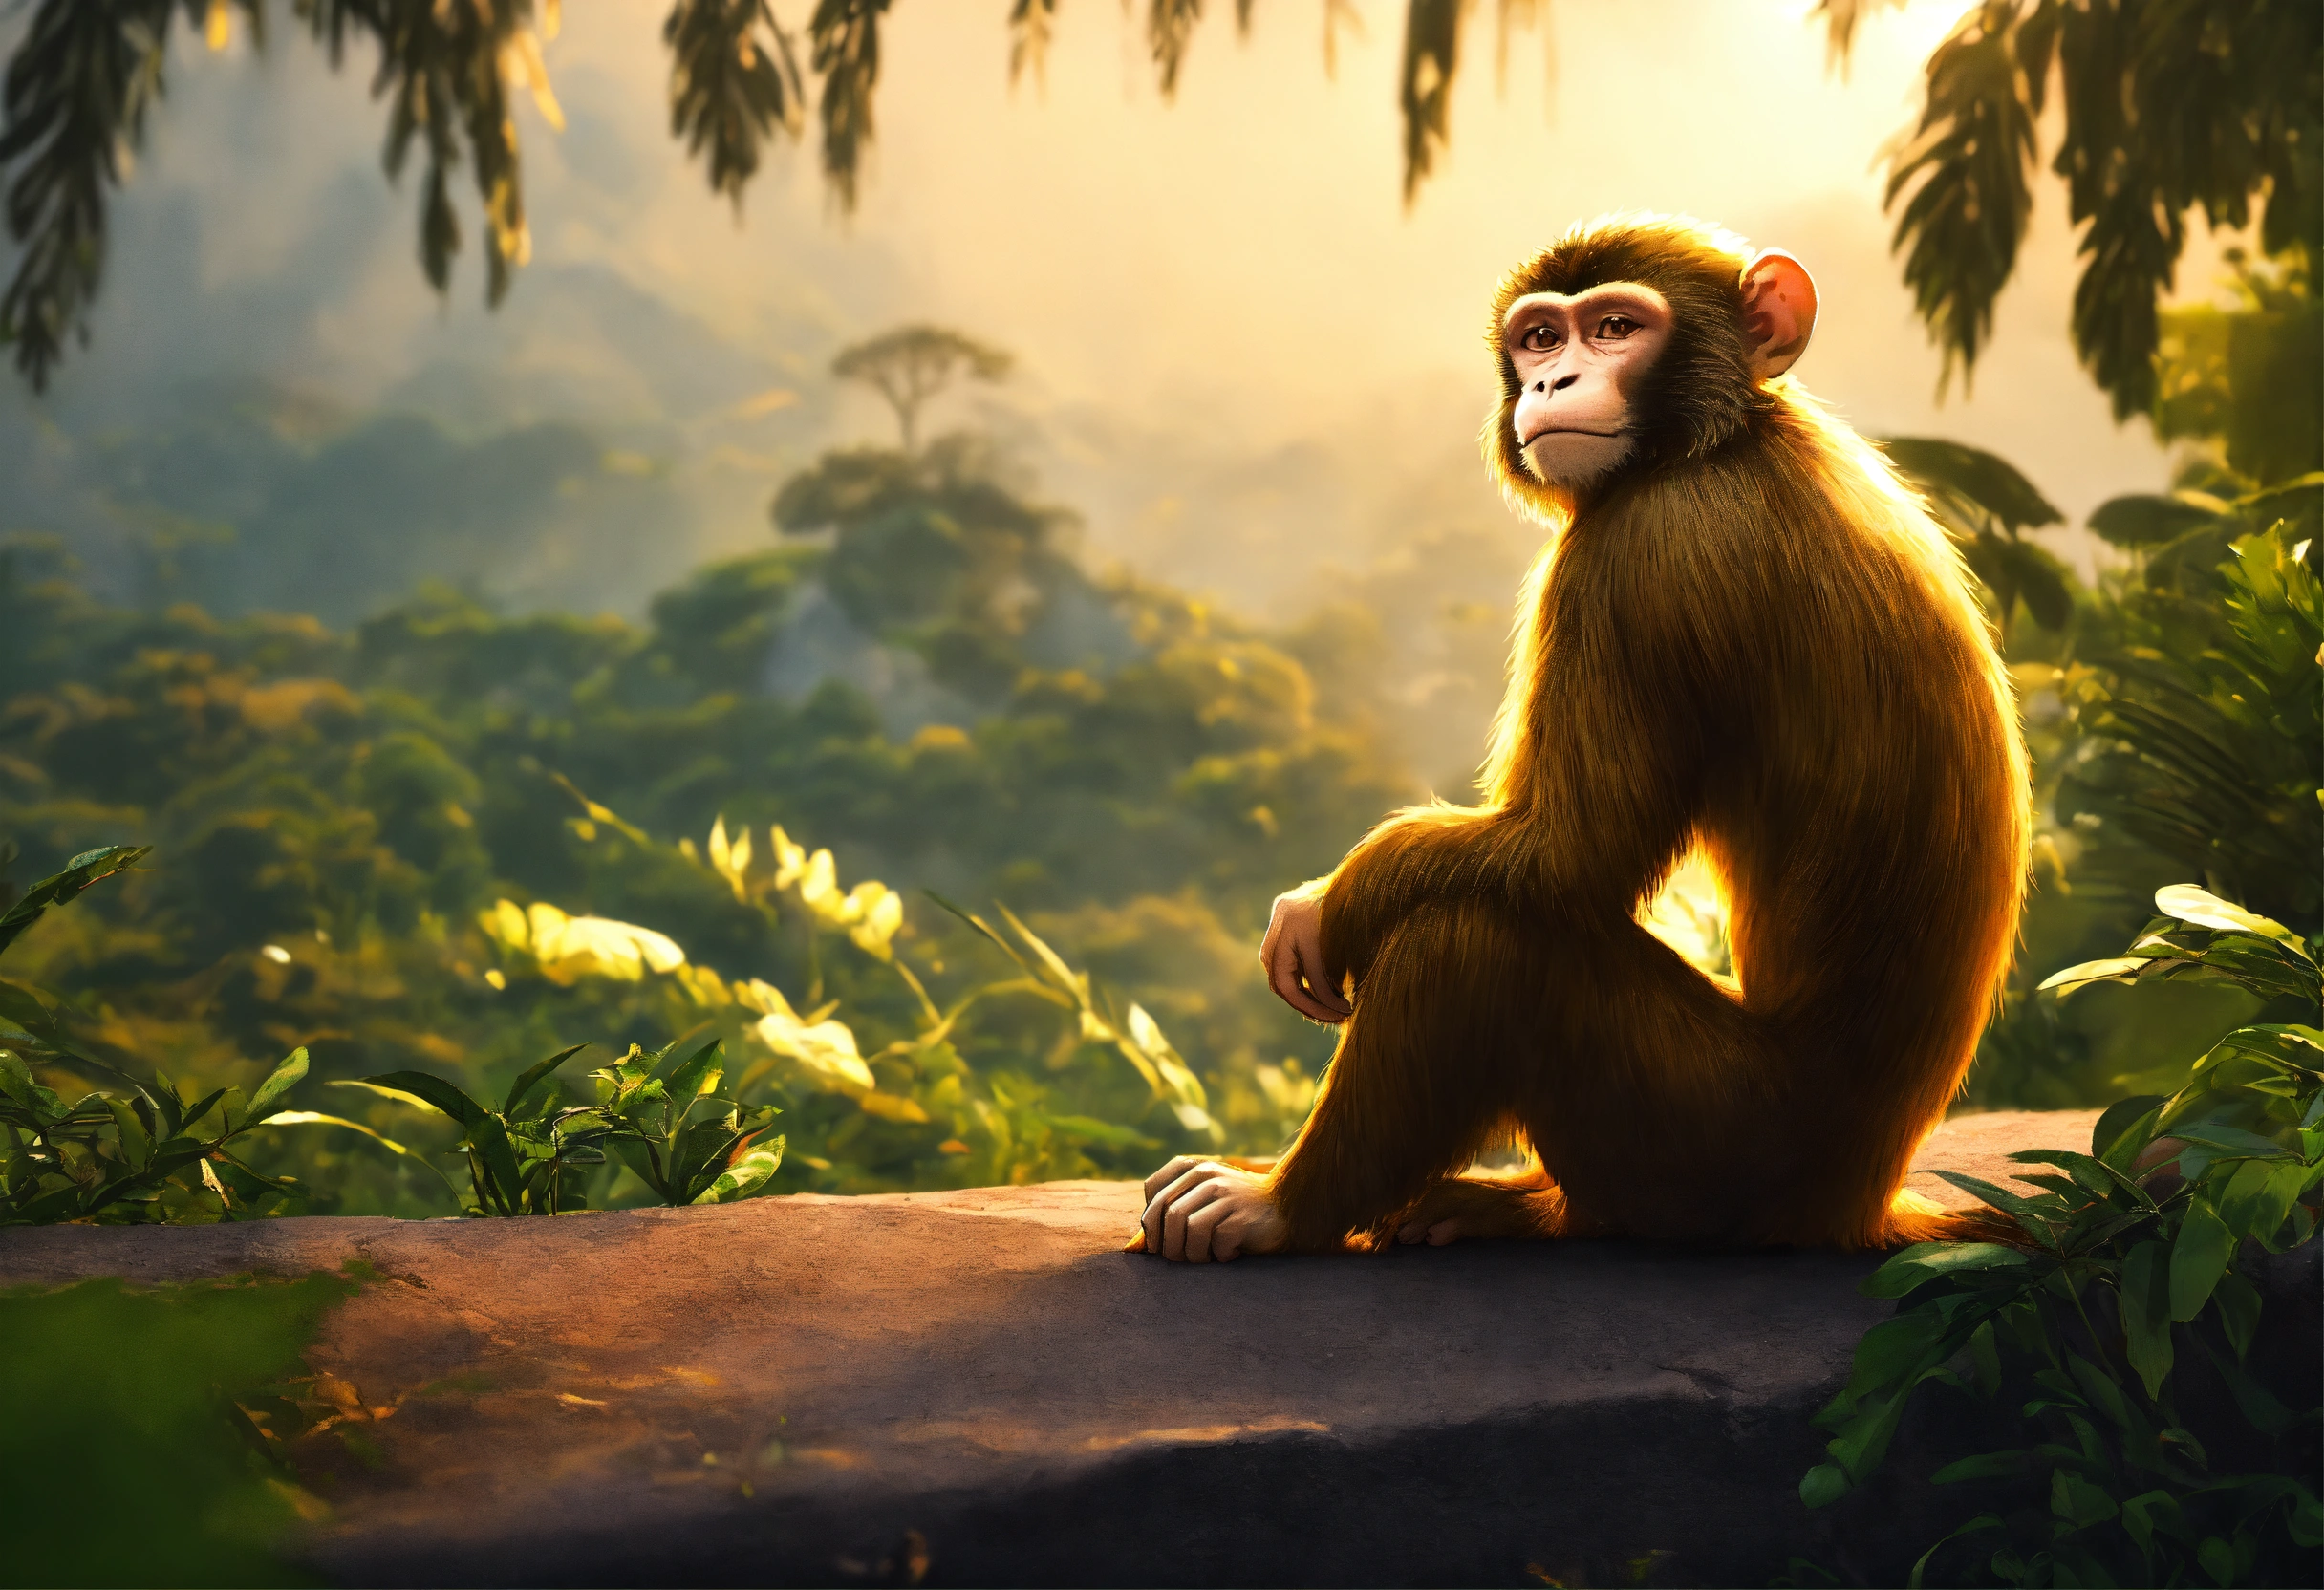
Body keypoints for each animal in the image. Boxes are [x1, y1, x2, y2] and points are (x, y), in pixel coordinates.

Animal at [1132, 212, 2029, 1263]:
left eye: (1612, 328)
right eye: (1538, 338)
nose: (1552, 382)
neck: (1716, 441)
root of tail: (1863, 1205)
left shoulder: (1633, 556)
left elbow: (1567, 849)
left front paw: (1327, 903)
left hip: (1717, 1150)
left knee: (1476, 942)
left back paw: (1281, 1206)